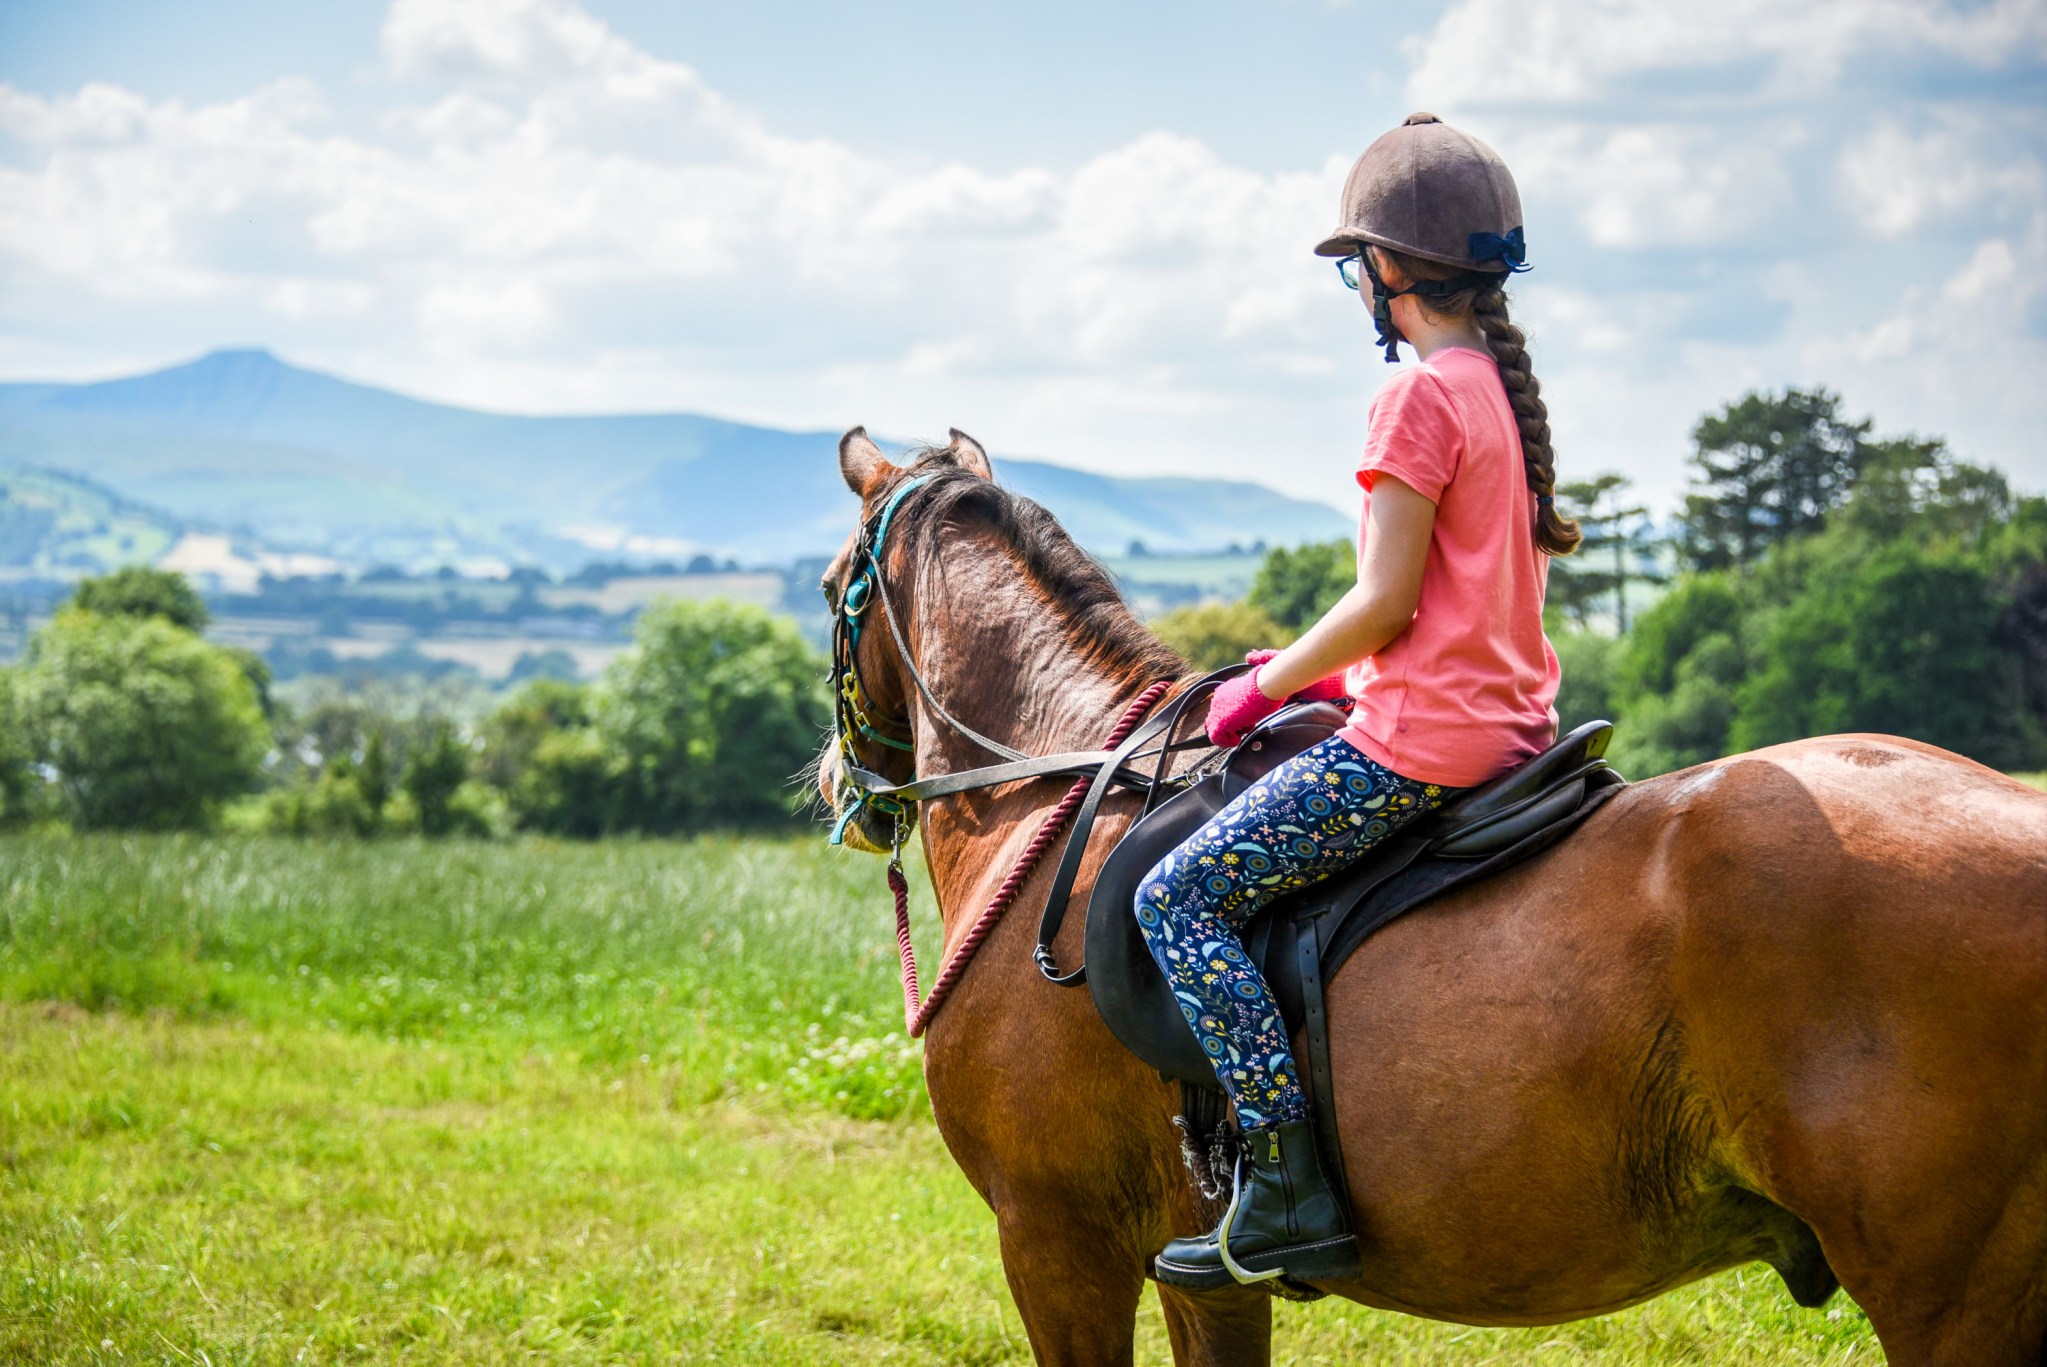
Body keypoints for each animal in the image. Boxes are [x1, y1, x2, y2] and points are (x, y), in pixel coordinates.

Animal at [816, 429, 2047, 1366]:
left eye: (832, 593)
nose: (836, 783)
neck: (1055, 786)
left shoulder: (1056, 1241)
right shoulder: (1197, 1272)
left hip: (1948, 1294)